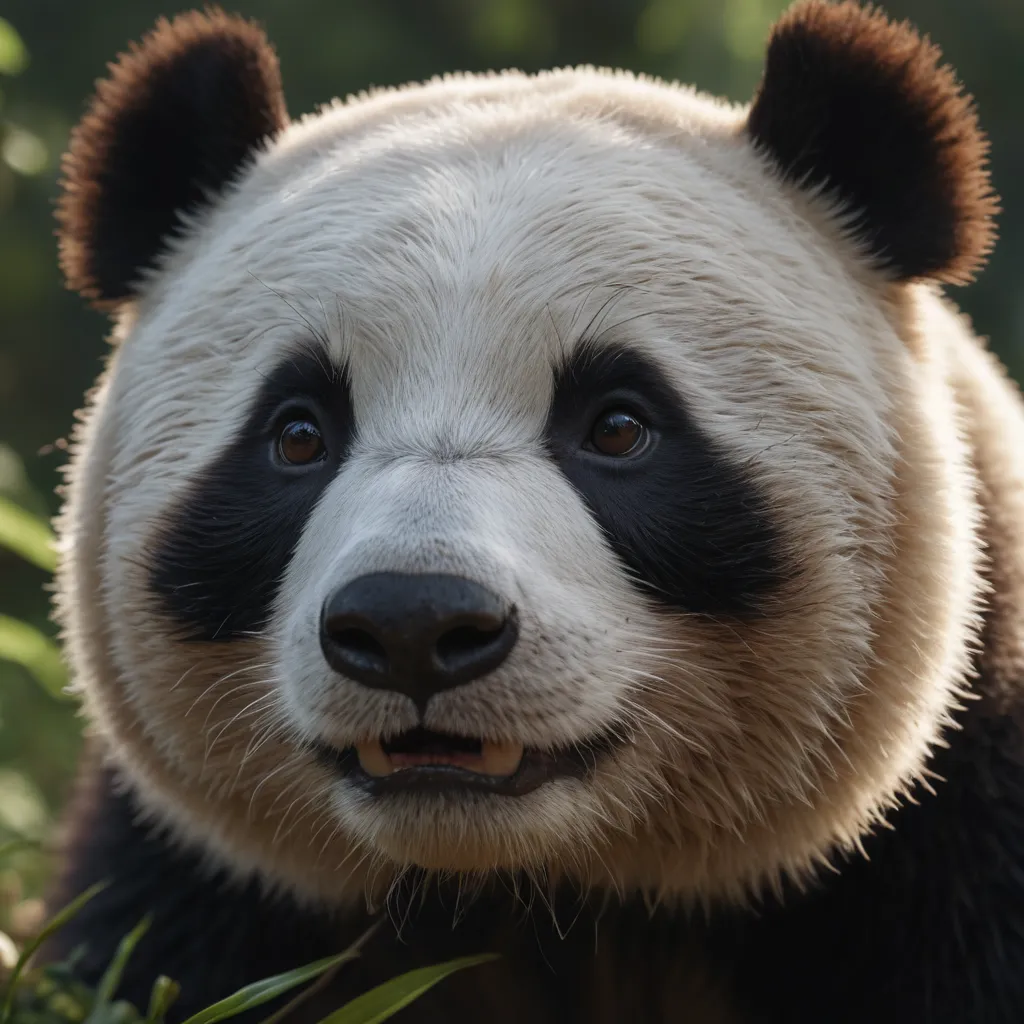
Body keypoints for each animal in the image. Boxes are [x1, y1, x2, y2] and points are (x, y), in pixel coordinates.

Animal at [41, 0, 1024, 1021]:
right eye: (298, 434)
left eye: (620, 426)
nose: (412, 624)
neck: (517, 887)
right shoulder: (195, 887)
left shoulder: (958, 826)